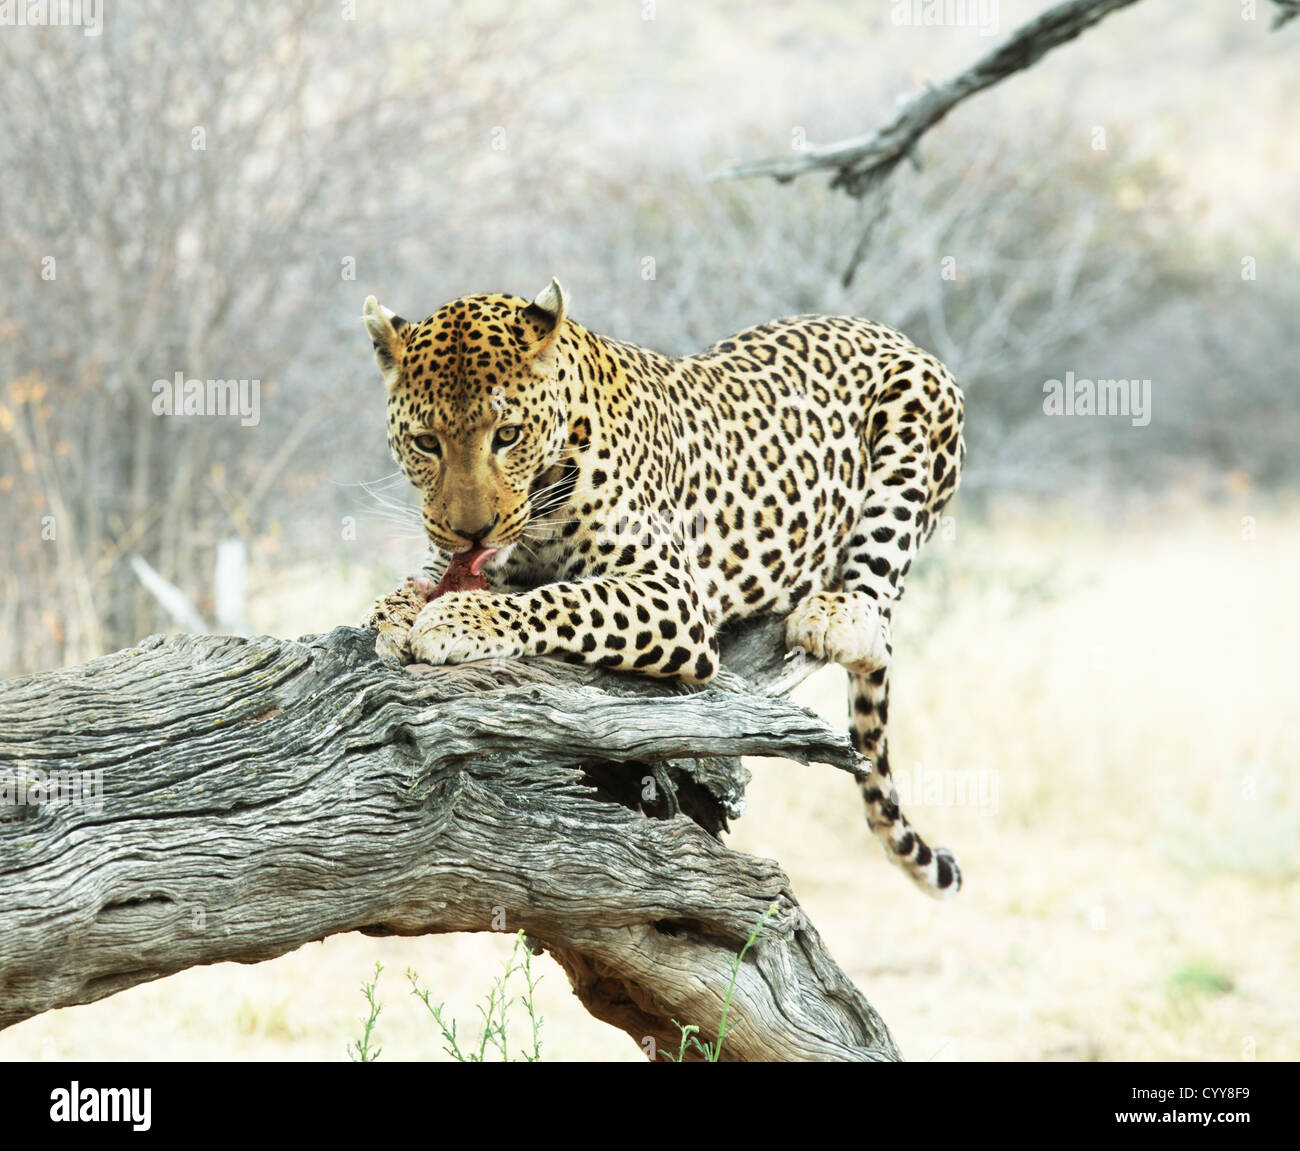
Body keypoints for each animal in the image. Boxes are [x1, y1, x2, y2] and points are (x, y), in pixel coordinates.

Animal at [361, 278, 966, 898]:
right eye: (426, 443)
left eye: (507, 435)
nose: (472, 530)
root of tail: (886, 331)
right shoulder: (445, 558)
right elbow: (410, 589)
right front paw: (393, 617)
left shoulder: (671, 590)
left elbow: (565, 598)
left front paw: (459, 620)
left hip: (911, 429)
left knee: (875, 625)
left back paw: (834, 616)